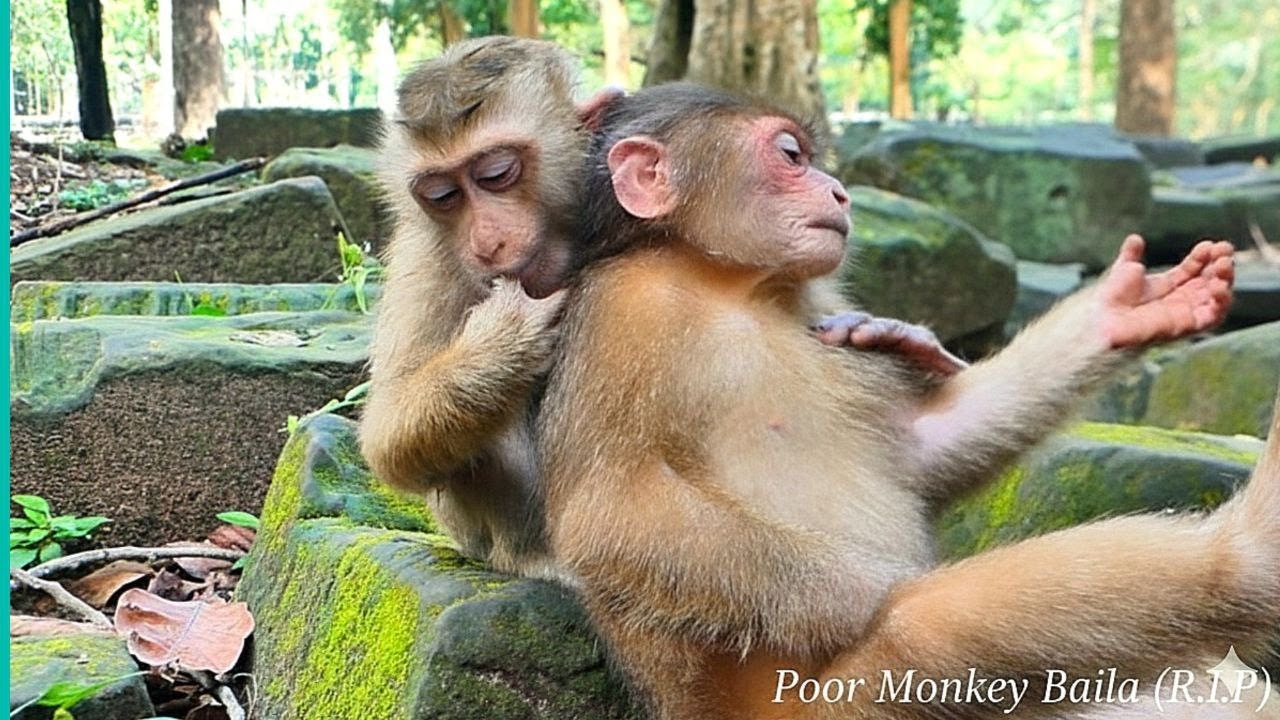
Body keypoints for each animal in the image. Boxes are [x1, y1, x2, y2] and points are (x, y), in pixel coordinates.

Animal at [358, 38, 966, 581]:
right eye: (442, 195)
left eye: (497, 173)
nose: (486, 242)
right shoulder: (428, 253)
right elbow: (388, 441)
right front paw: (505, 338)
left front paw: (891, 336)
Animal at [537, 82, 1276, 720]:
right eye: (791, 156)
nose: (840, 192)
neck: (725, 286)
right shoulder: (630, 313)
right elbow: (615, 511)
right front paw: (866, 595)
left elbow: (924, 448)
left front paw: (1119, 314)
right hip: (841, 707)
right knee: (944, 627)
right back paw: (1247, 554)